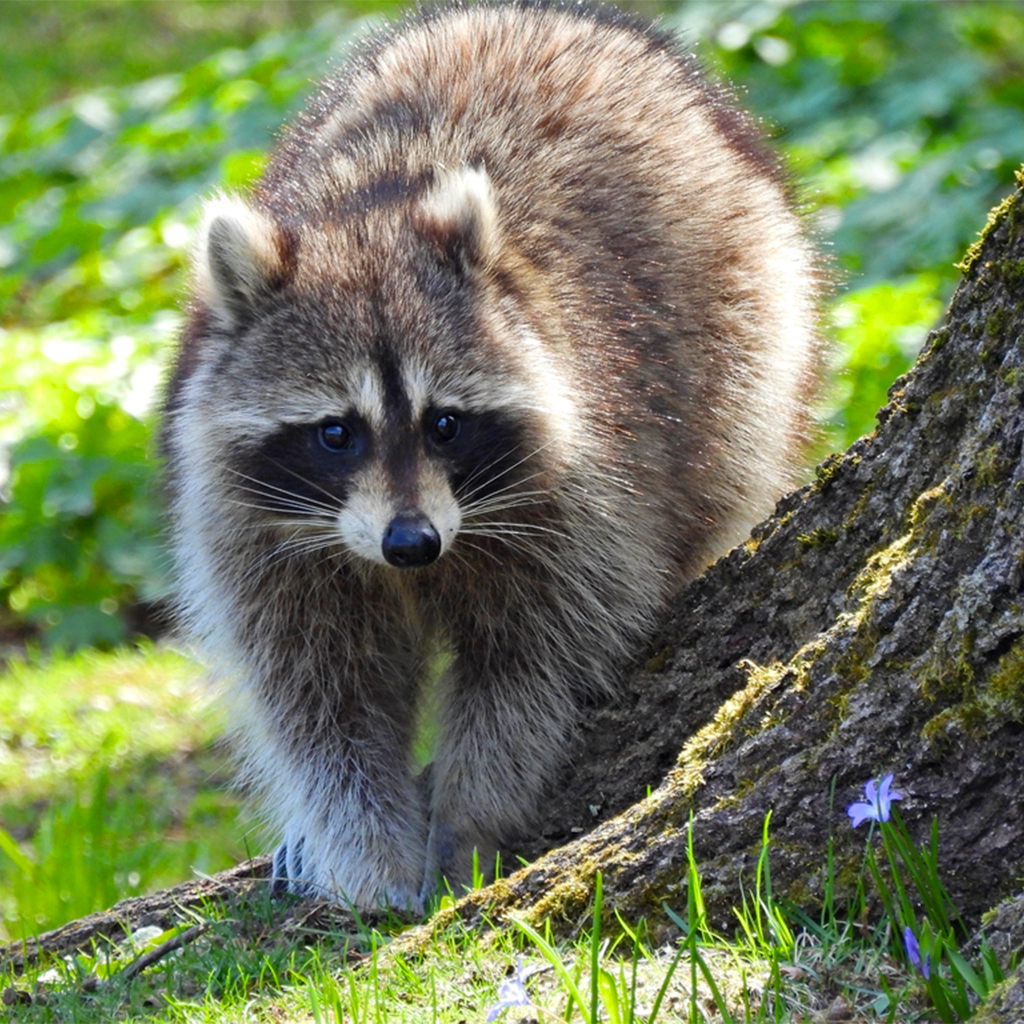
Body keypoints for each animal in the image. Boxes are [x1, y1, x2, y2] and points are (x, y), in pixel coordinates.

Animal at [161, 2, 821, 912]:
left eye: (445, 423)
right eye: (337, 433)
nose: (412, 543)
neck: (363, 218)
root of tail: (526, 13)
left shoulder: (584, 490)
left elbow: (531, 665)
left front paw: (468, 818)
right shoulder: (252, 529)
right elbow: (320, 697)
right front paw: (366, 849)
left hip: (750, 331)